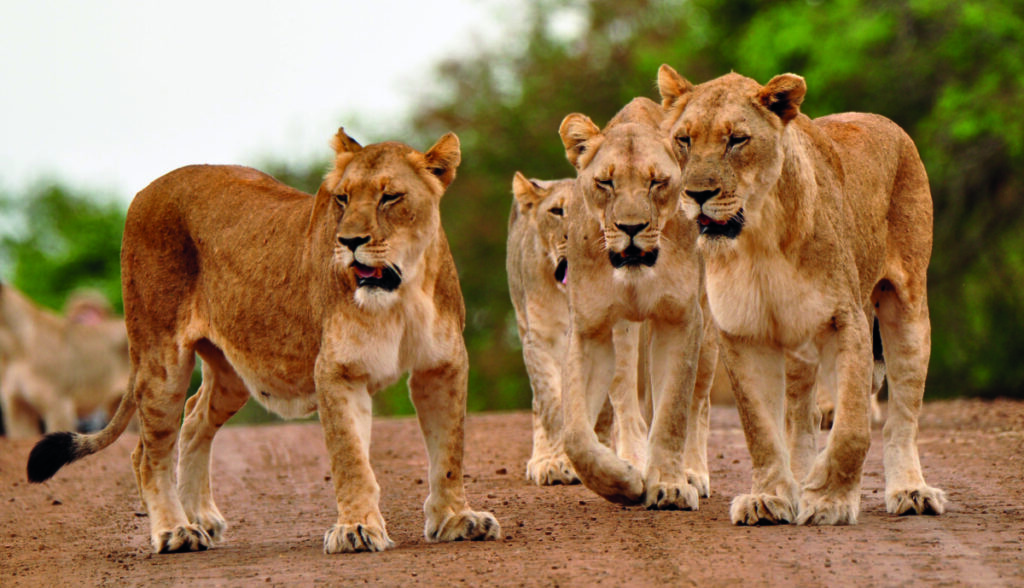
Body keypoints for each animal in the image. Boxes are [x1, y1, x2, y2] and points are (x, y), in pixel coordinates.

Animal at [27, 128, 501, 554]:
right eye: (342, 199)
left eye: (390, 197)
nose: (349, 242)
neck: (403, 292)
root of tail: (146, 189)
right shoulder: (338, 371)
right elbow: (351, 459)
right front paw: (356, 529)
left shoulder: (442, 367)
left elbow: (449, 454)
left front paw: (457, 520)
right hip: (160, 357)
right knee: (148, 452)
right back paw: (175, 531)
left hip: (232, 372)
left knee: (194, 419)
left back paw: (201, 517)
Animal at [506, 173, 646, 485]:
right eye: (557, 211)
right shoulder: (538, 339)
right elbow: (551, 405)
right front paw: (556, 461)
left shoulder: (610, 333)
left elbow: (602, 410)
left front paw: (596, 460)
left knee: (625, 402)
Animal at [556, 96, 718, 510]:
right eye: (606, 182)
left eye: (656, 182)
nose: (631, 228)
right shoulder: (590, 330)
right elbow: (575, 434)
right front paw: (623, 481)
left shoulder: (681, 319)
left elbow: (673, 411)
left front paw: (671, 485)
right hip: (624, 334)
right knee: (629, 404)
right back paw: (632, 460)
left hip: (708, 332)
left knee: (699, 404)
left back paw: (693, 472)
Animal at [658, 65, 947, 525]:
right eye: (683, 139)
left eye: (736, 140)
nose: (697, 195)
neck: (760, 239)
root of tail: (886, 122)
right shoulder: (743, 331)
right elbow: (761, 428)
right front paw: (769, 497)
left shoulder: (846, 319)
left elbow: (852, 426)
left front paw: (830, 500)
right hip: (797, 343)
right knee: (799, 416)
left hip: (907, 308)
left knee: (901, 416)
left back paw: (910, 491)